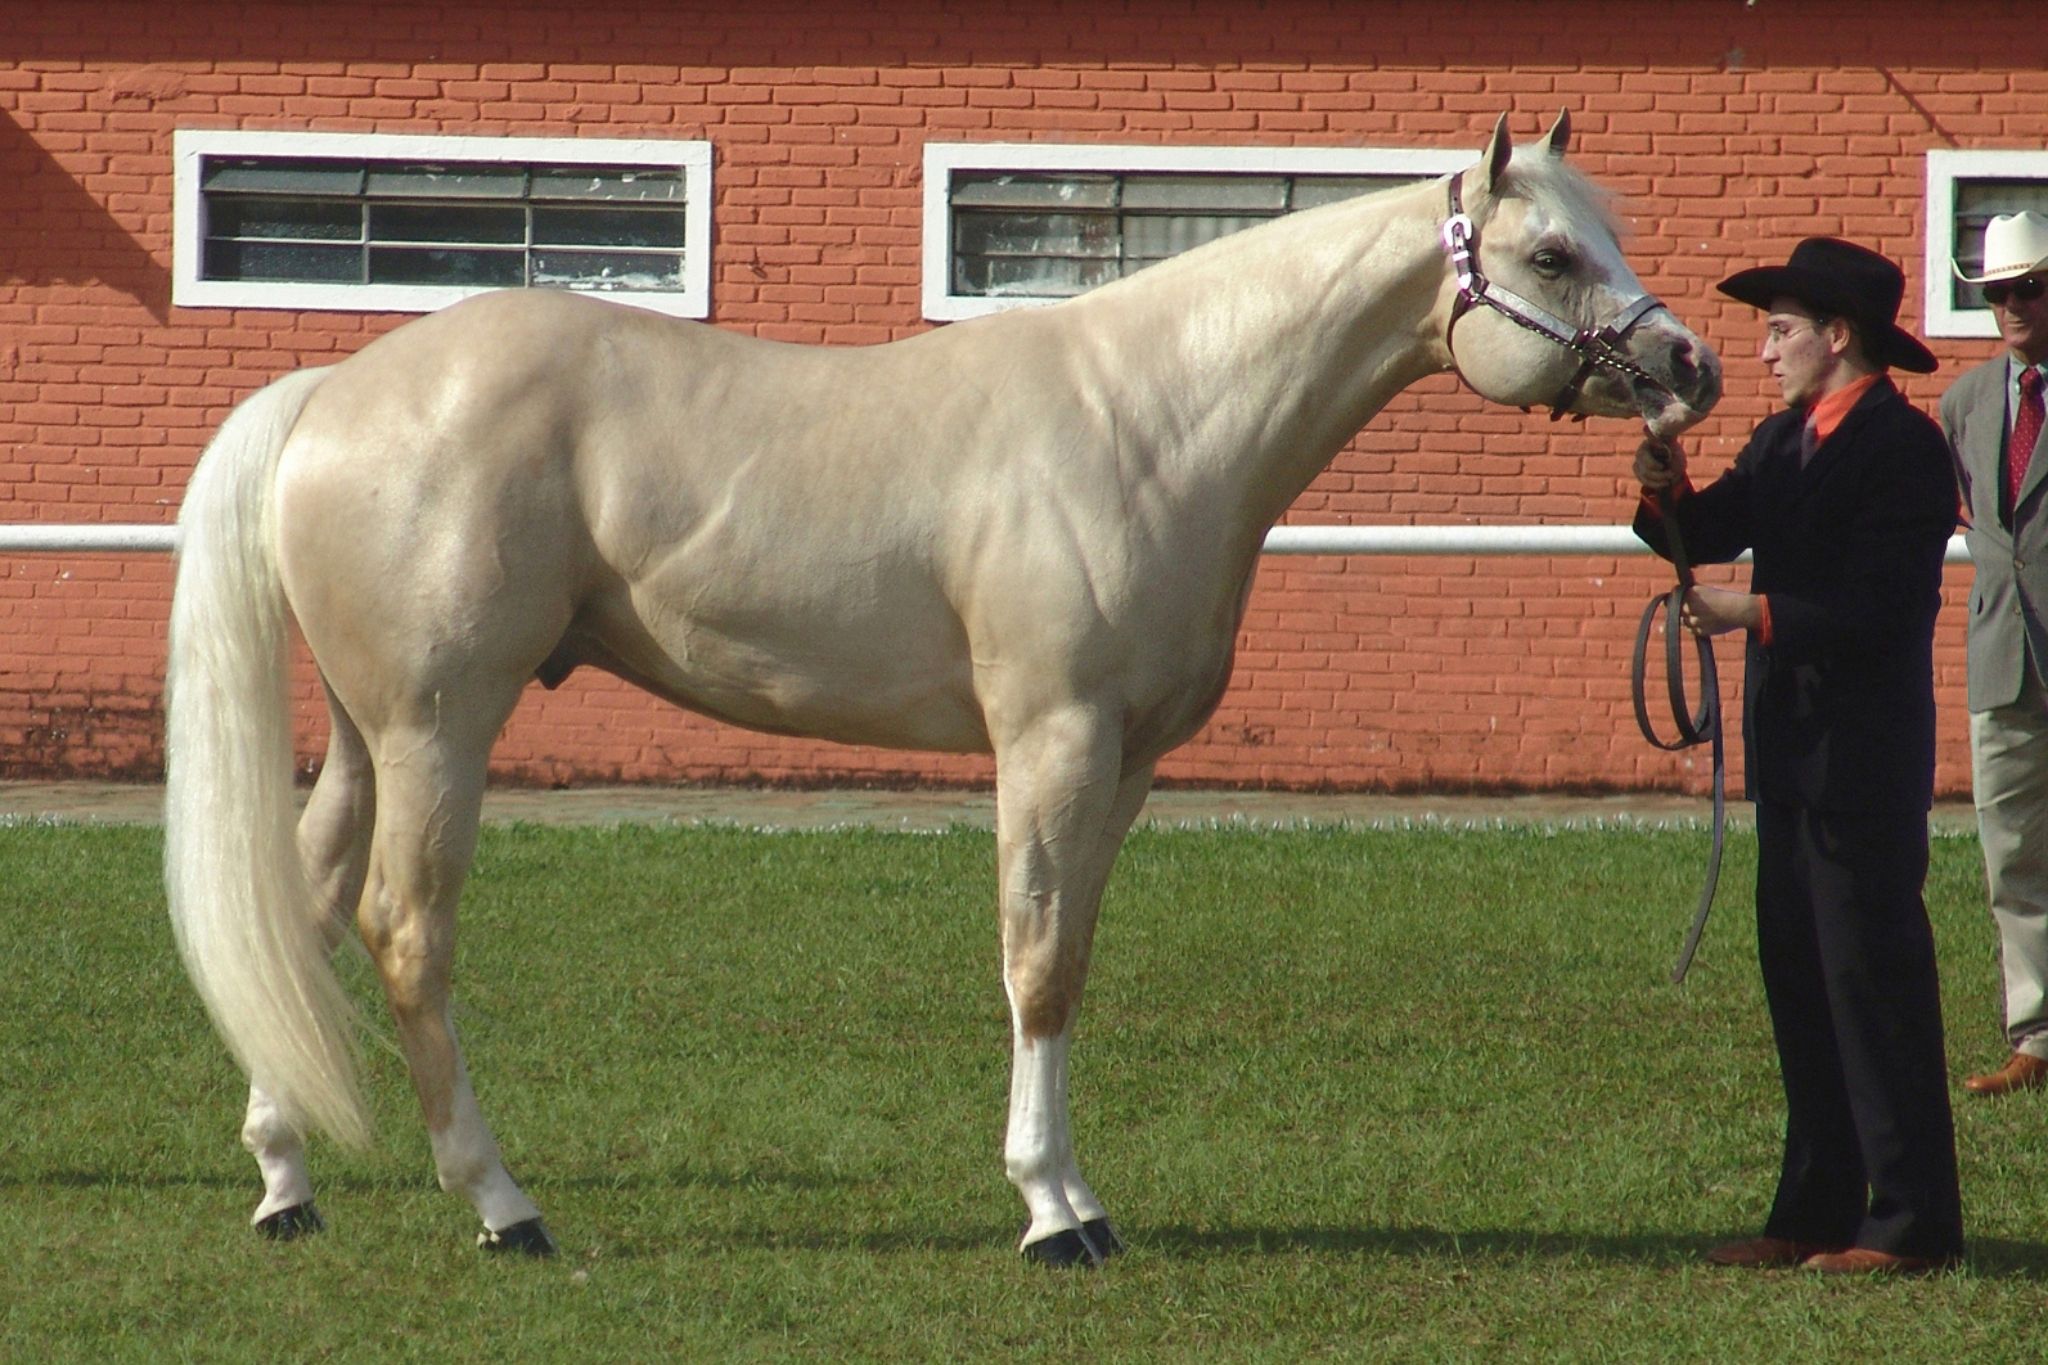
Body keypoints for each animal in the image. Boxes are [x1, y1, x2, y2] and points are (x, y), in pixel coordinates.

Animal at [163, 110, 1721, 1265]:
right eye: (1550, 250)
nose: (1688, 366)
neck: (1148, 421)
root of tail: (336, 389)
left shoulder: (1125, 765)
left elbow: (1072, 957)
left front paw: (1079, 1196)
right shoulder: (1050, 740)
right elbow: (1033, 961)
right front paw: (1049, 1213)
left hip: (367, 732)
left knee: (307, 903)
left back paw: (286, 1181)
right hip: (440, 726)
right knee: (403, 931)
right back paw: (503, 1206)